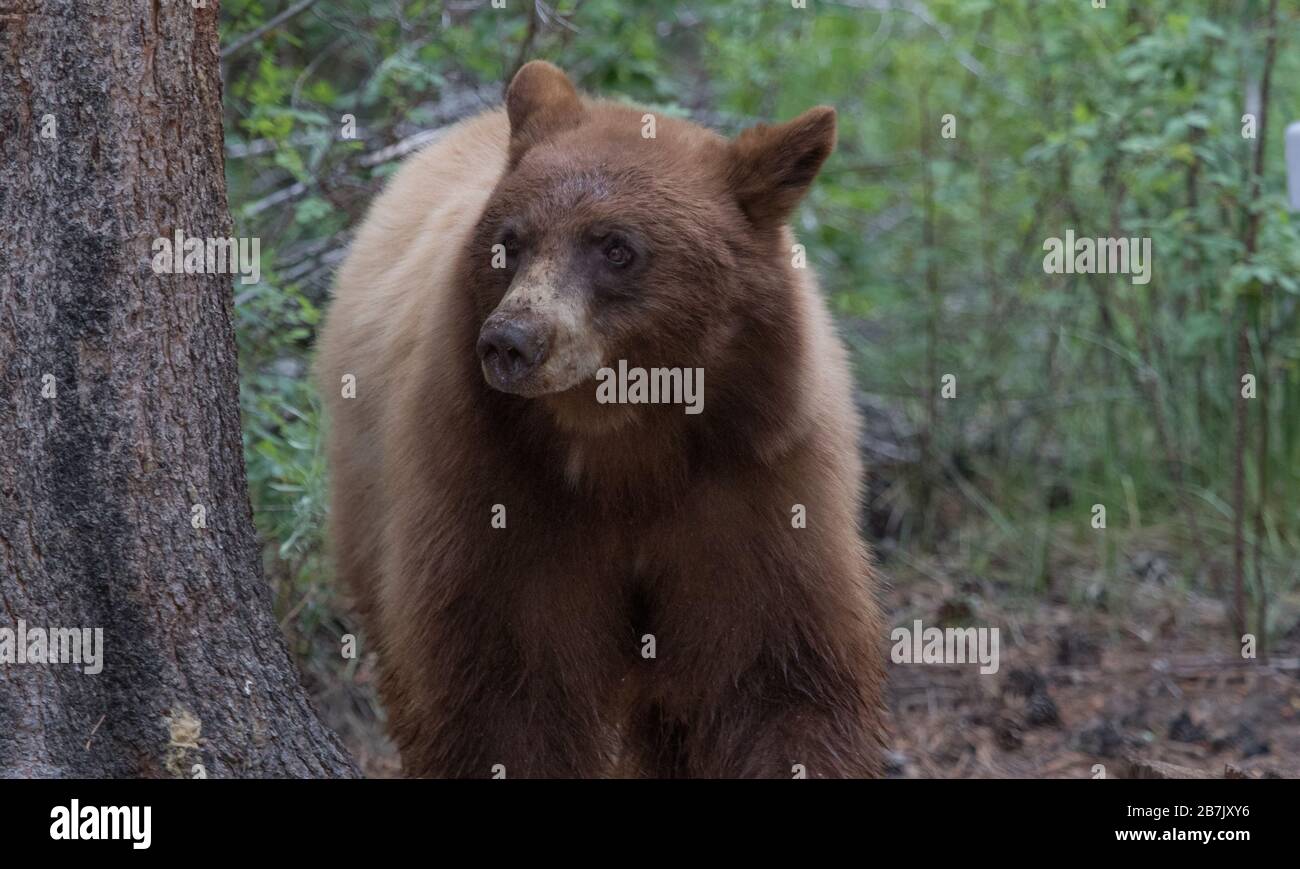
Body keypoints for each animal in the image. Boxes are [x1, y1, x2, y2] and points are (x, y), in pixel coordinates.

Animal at [316, 61, 886, 778]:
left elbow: (774, 673)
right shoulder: (492, 494)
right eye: (509, 243)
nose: (509, 342)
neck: (626, 442)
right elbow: (503, 692)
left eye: (616, 247)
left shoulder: (758, 486)